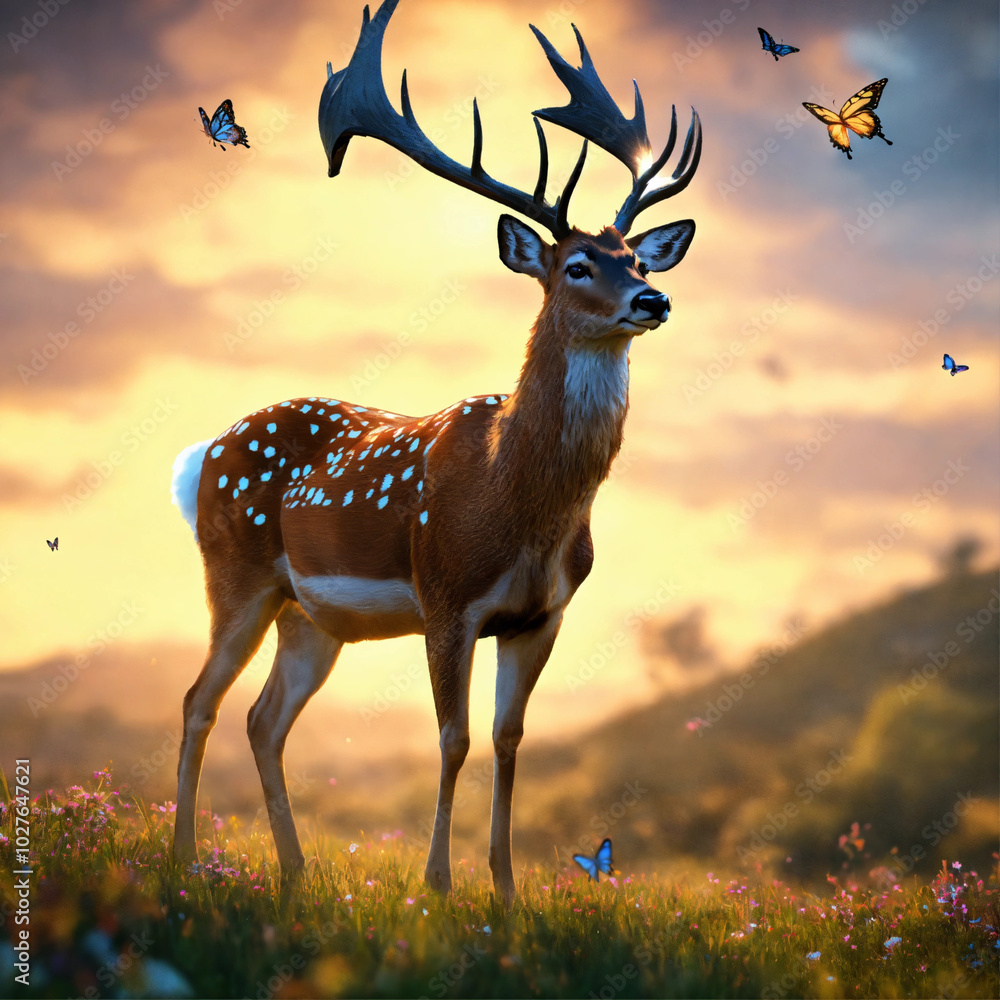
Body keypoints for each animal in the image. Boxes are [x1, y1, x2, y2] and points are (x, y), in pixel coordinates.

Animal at [170, 0, 700, 907]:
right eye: (576, 265)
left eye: (636, 256)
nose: (652, 298)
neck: (519, 508)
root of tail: (203, 453)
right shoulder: (447, 596)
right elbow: (452, 738)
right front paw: (439, 885)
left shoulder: (544, 613)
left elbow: (510, 739)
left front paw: (508, 891)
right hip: (235, 573)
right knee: (199, 701)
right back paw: (177, 861)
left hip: (311, 617)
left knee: (263, 719)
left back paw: (296, 872)